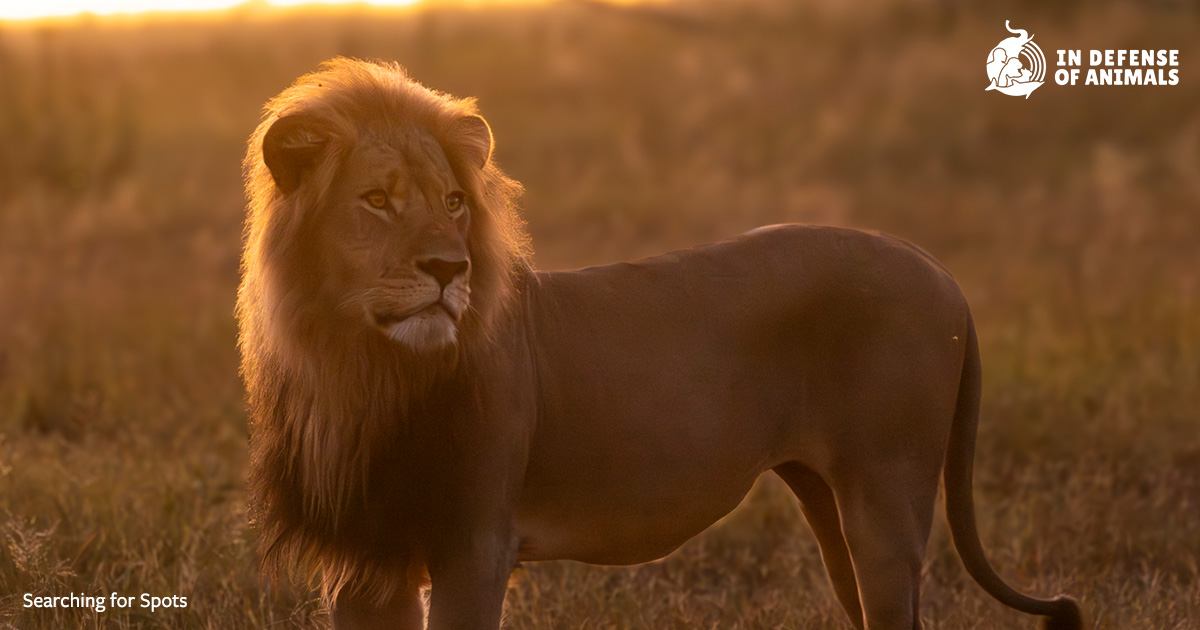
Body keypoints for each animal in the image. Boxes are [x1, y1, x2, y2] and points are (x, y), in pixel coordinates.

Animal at [238, 58, 1083, 630]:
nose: (451, 269)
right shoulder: (363, 561)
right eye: (377, 201)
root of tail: (938, 269)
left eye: (452, 202)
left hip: (887, 493)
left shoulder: (472, 545)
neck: (359, 368)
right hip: (832, 500)